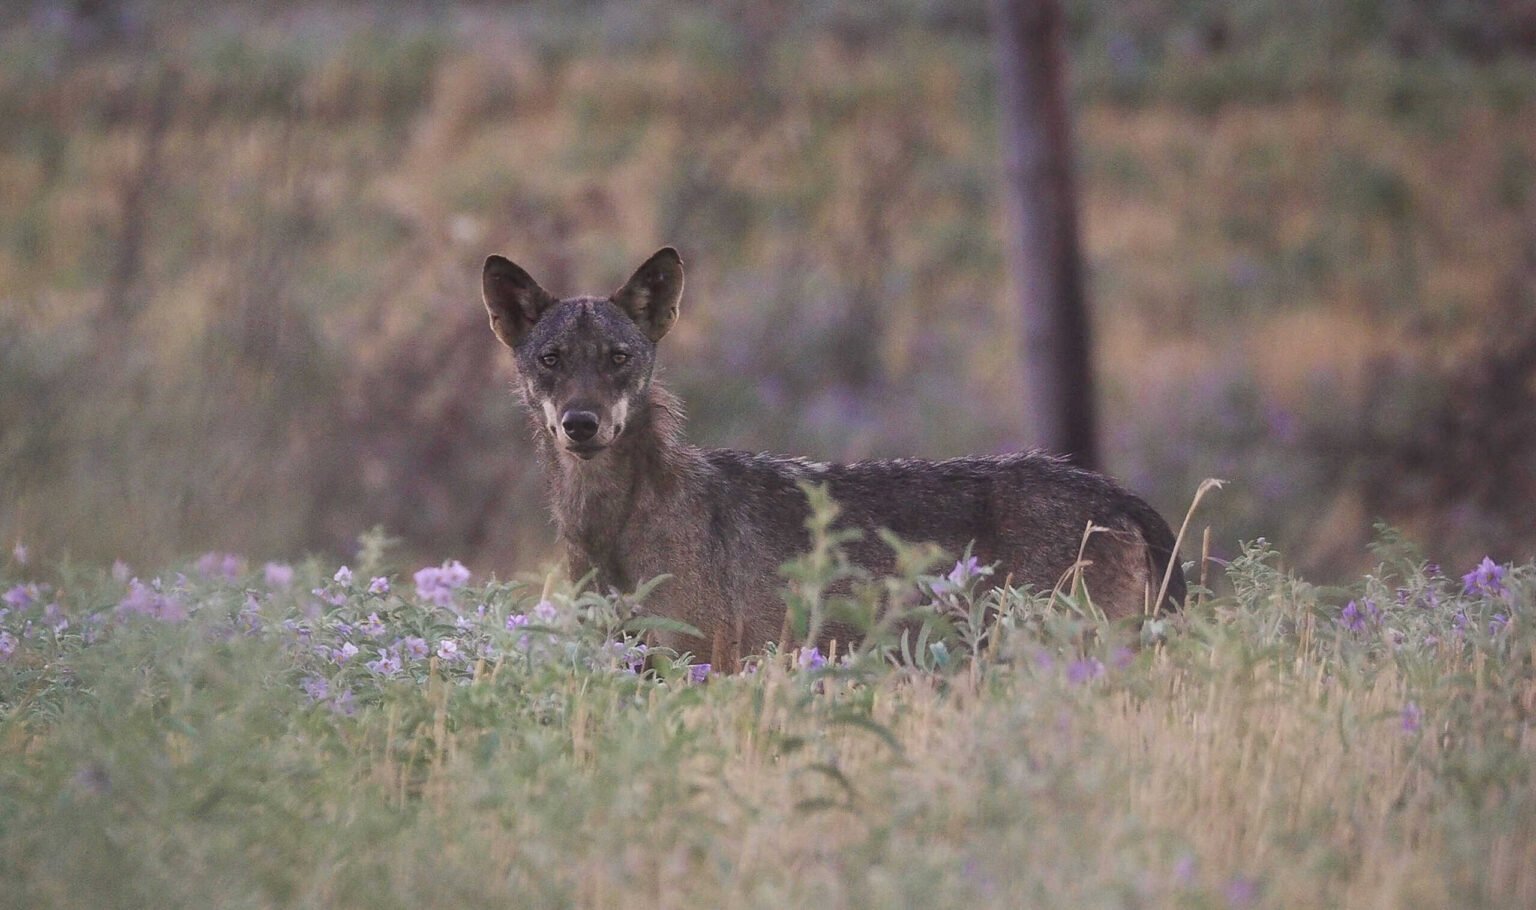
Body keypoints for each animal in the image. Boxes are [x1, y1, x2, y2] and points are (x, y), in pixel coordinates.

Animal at [482, 247, 1185, 670]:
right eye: (552, 360)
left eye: (618, 358)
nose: (581, 424)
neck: (611, 527)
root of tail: (1119, 495)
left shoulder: (703, 664)